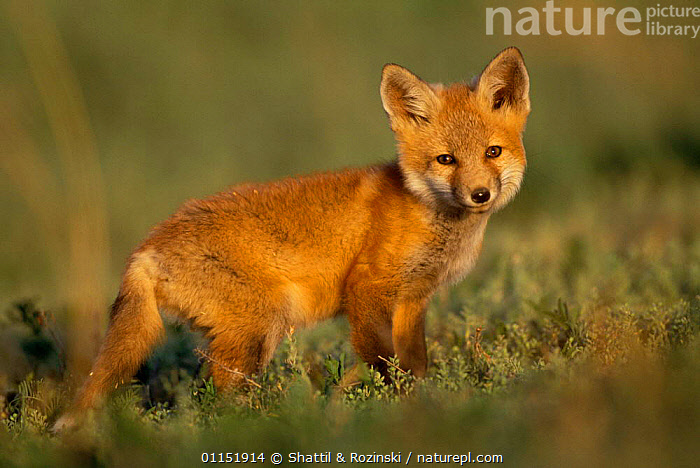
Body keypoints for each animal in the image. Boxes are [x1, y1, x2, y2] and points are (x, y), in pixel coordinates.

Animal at [54, 47, 530, 430]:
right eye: (446, 160)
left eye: (492, 152)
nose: (480, 195)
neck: (426, 215)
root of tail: (146, 247)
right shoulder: (367, 290)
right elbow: (384, 365)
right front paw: (385, 408)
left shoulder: (413, 298)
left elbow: (415, 364)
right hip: (261, 326)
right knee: (217, 396)